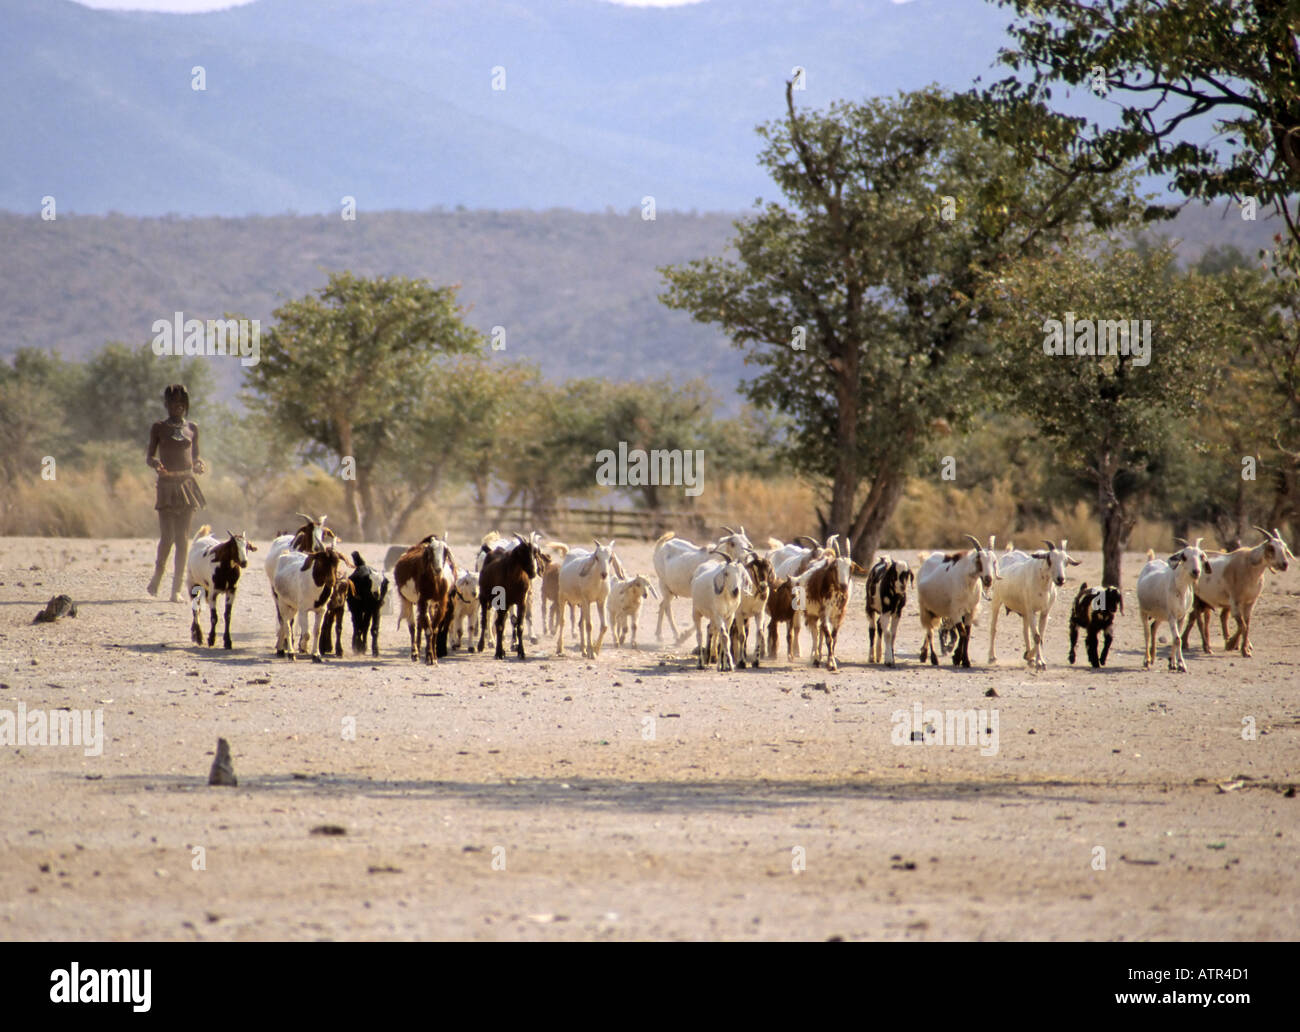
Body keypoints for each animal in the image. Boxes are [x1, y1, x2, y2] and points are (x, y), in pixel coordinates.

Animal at [916, 535, 1000, 668]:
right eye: (979, 559)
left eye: (994, 561)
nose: (988, 579)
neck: (968, 584)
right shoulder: (956, 611)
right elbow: (963, 633)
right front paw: (959, 658)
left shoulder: (970, 611)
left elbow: (967, 634)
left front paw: (962, 659)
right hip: (924, 608)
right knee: (929, 631)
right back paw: (933, 658)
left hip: (936, 610)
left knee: (931, 629)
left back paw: (924, 655)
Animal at [987, 539, 1081, 670]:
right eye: (1049, 559)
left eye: (1066, 561)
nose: (1060, 579)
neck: (1043, 584)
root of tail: (1007, 554)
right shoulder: (1031, 610)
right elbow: (1037, 636)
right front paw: (1039, 662)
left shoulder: (1044, 612)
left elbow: (1040, 636)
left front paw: (1032, 657)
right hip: (997, 601)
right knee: (993, 628)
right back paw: (992, 658)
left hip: (1024, 612)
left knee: (1025, 631)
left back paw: (1030, 659)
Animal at [1136, 540, 1208, 672]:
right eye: (1184, 557)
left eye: (1201, 556)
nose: (1196, 571)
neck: (1180, 589)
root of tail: (1151, 561)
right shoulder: (1172, 616)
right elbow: (1177, 639)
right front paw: (1181, 665)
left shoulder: (1181, 617)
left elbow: (1176, 639)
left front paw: (1173, 663)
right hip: (1143, 611)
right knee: (1147, 633)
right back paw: (1147, 660)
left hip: (1160, 614)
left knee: (1153, 627)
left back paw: (1153, 657)